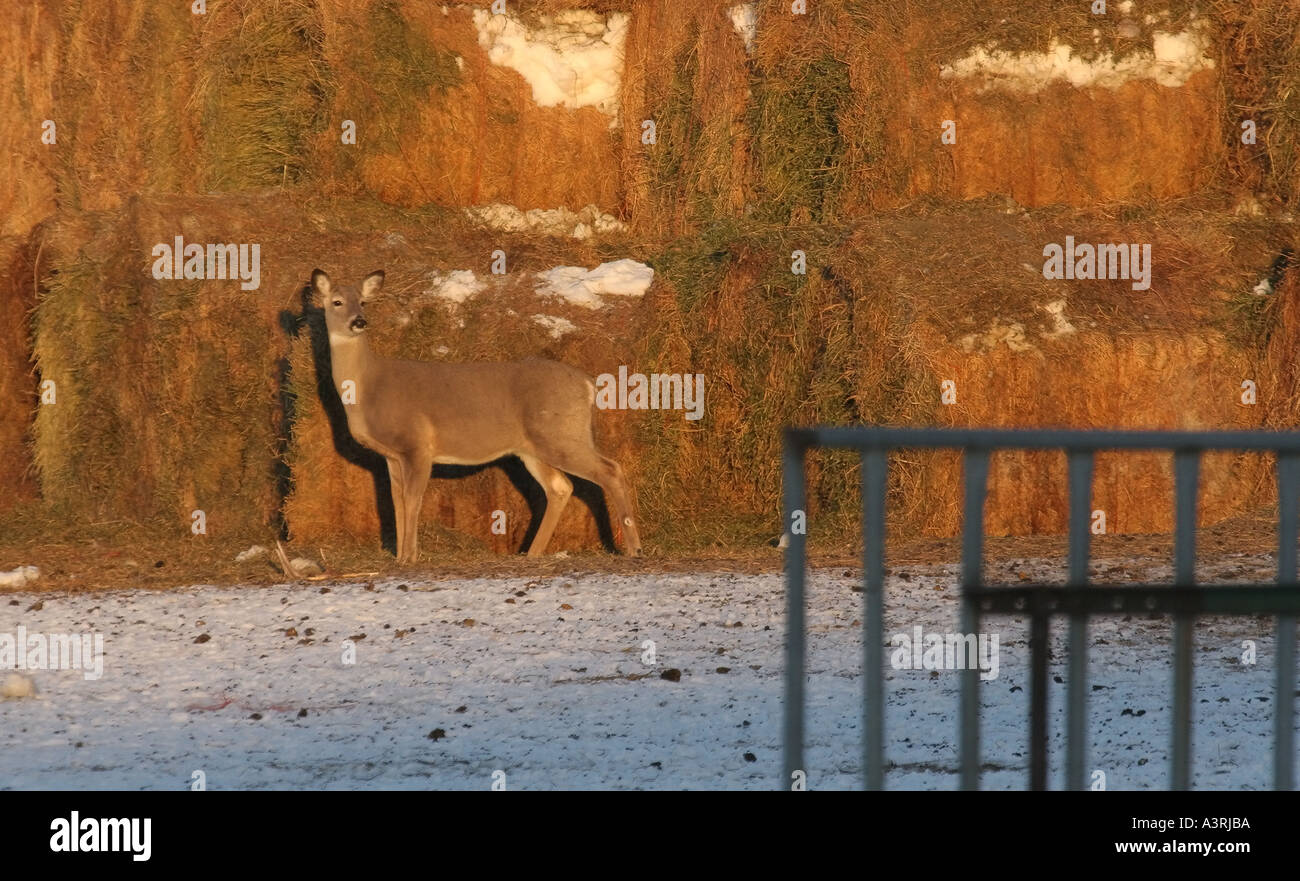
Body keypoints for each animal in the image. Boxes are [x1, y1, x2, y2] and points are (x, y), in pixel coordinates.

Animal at [312, 268, 642, 563]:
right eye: (337, 301)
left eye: (363, 302)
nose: (359, 321)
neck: (368, 386)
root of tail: (588, 383)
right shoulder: (392, 455)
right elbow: (397, 502)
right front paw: (400, 557)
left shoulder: (417, 444)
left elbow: (412, 501)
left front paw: (409, 557)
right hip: (533, 447)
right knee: (561, 487)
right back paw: (531, 553)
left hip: (560, 434)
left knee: (610, 470)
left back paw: (633, 548)